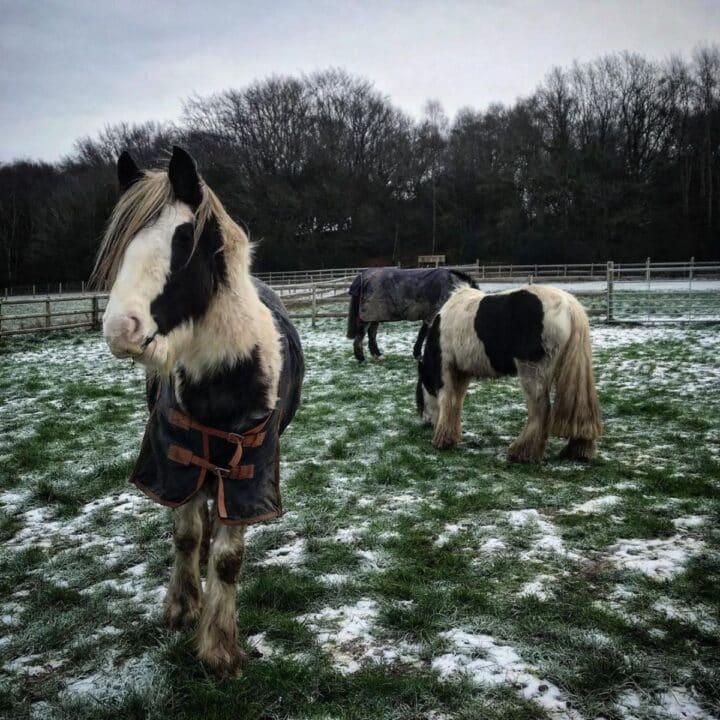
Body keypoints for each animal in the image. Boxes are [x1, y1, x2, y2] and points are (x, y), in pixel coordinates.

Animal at [92, 147, 304, 677]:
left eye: (183, 238)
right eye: (122, 243)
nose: (120, 329)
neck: (224, 377)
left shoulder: (249, 469)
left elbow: (228, 559)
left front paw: (219, 650)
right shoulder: (175, 458)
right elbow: (186, 534)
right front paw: (183, 608)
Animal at [346, 267, 476, 362]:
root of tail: (363, 276)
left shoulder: (430, 316)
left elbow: (422, 334)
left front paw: (417, 354)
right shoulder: (434, 315)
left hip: (375, 315)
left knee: (372, 334)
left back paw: (378, 355)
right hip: (367, 316)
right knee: (361, 336)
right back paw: (361, 358)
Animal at [416, 285, 602, 463]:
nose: (427, 422)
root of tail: (570, 306)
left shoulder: (446, 367)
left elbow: (447, 399)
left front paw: (442, 440)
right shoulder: (461, 371)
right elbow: (457, 401)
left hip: (532, 371)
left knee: (540, 409)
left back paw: (522, 453)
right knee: (582, 409)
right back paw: (578, 450)